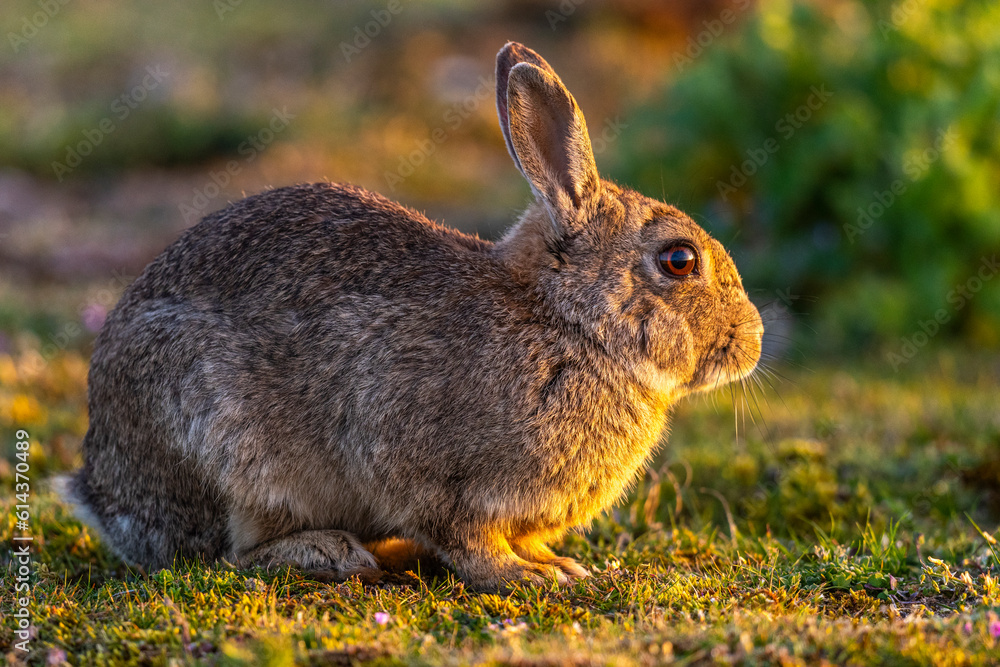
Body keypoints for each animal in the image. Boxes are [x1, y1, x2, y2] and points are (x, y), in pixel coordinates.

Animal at [60, 41, 763, 591]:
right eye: (679, 260)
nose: (753, 342)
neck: (568, 324)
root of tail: (101, 492)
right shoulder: (426, 469)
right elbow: (467, 540)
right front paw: (525, 575)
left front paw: (555, 563)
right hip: (219, 444)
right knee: (232, 553)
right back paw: (332, 552)